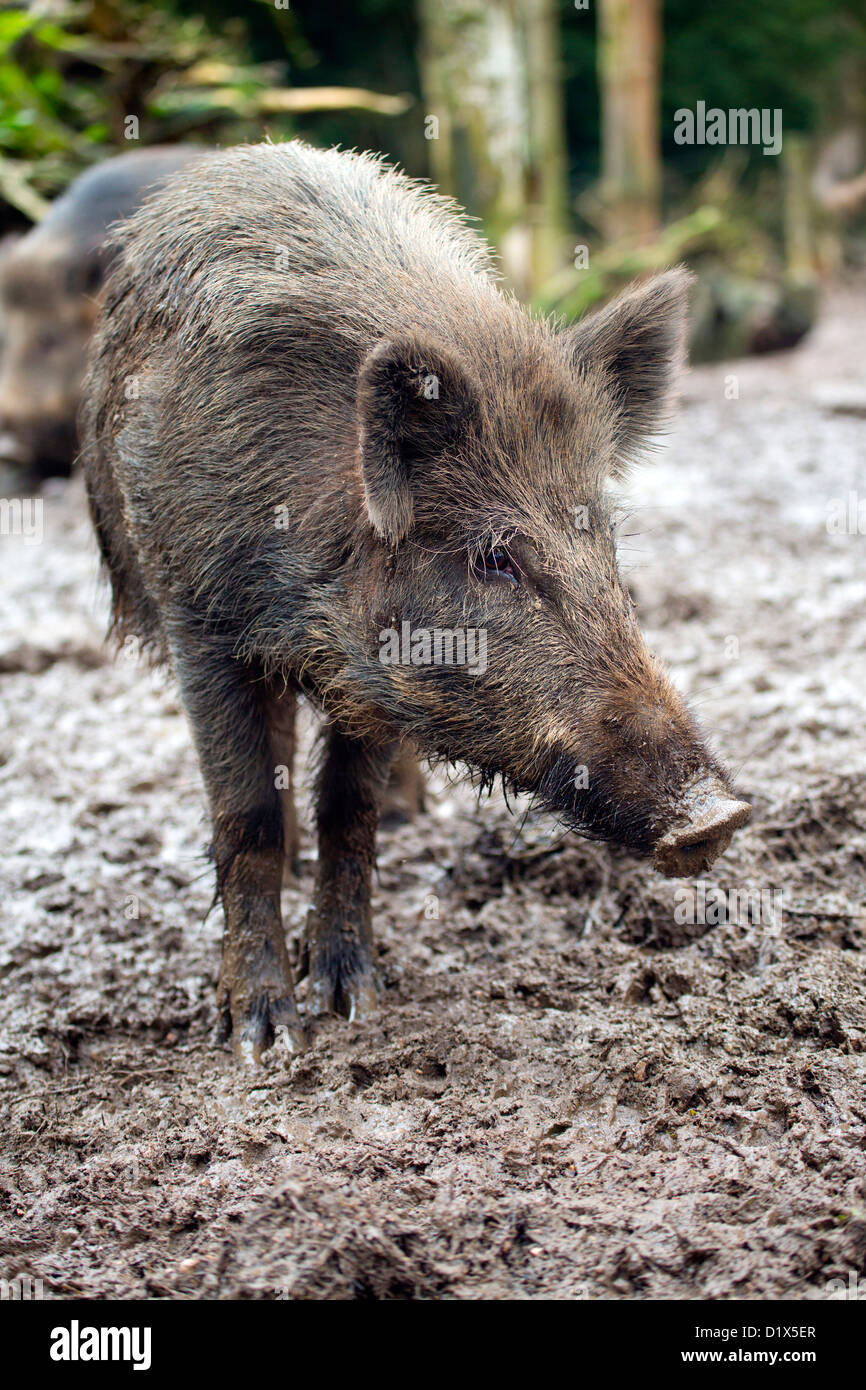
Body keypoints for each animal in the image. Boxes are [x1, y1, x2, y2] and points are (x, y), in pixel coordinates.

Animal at [82, 140, 751, 1060]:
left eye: (604, 535)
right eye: (496, 556)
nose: (717, 817)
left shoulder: (372, 678)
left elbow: (350, 808)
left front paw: (354, 1003)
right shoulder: (198, 620)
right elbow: (246, 816)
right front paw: (265, 1040)